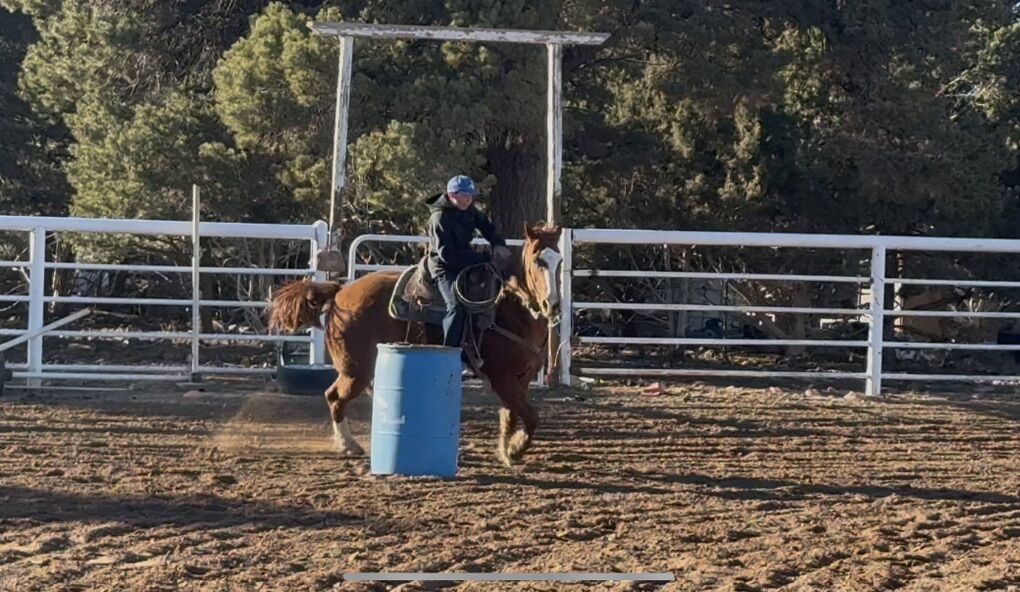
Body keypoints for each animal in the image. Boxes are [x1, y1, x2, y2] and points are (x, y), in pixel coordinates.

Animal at [269, 223, 563, 466]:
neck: (509, 307)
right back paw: (348, 444)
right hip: (356, 371)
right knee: (334, 397)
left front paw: (507, 451)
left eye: (559, 260)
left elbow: (512, 416)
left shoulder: (520, 378)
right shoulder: (502, 378)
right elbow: (530, 416)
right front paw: (516, 449)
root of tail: (341, 291)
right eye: (537, 260)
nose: (552, 304)